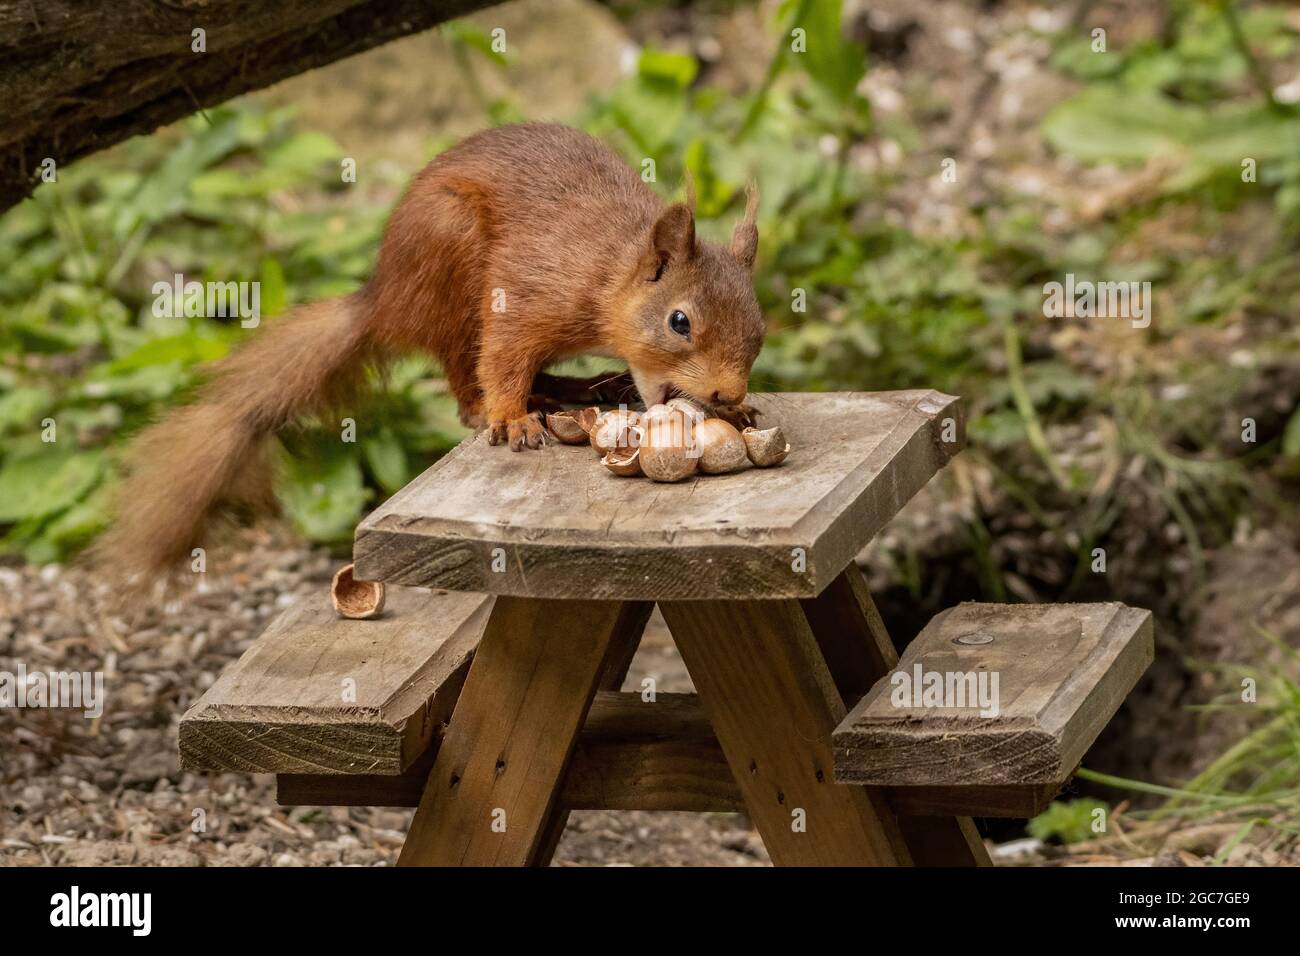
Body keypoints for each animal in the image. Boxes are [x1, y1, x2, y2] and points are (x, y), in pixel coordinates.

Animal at [97, 123, 764, 581]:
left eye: (759, 331)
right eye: (679, 321)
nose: (726, 390)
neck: (608, 272)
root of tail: (382, 298)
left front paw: (737, 413)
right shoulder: (525, 295)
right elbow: (504, 355)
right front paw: (511, 416)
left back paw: (572, 390)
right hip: (449, 257)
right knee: (464, 377)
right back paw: (513, 407)